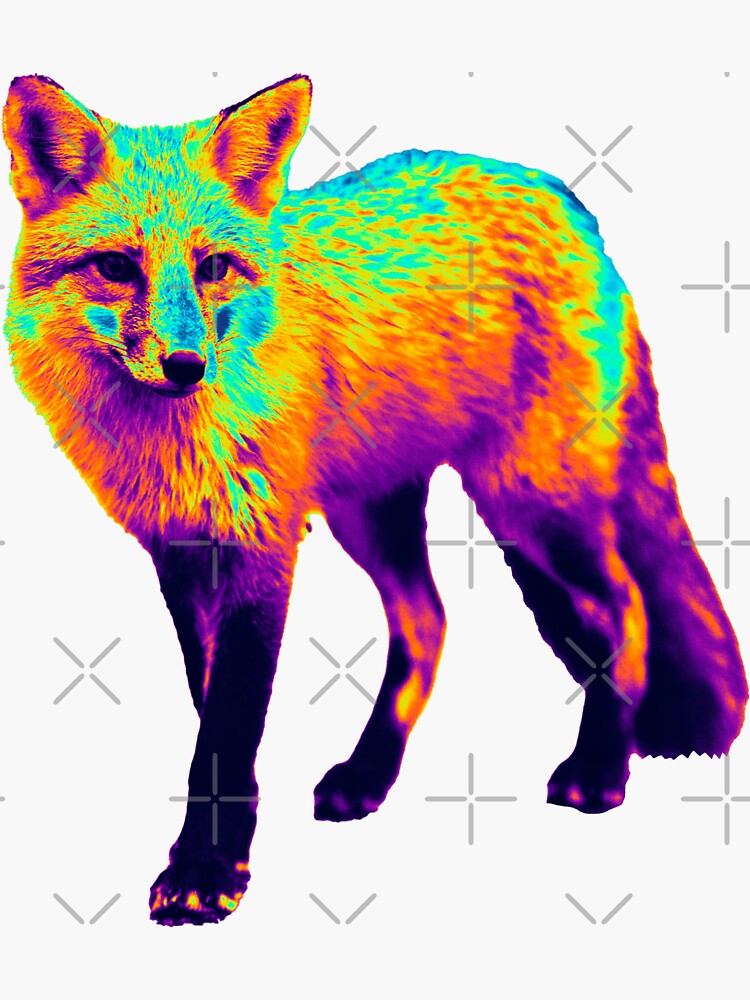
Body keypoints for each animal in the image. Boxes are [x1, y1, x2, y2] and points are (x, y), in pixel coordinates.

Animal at [2, 72, 747, 925]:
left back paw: (601, 769)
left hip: (531, 504)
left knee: (624, 606)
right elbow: (211, 709)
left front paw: (207, 870)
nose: (187, 365)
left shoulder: (263, 543)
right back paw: (370, 776)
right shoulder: (181, 553)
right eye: (116, 267)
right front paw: (227, 845)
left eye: (214, 266)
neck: (176, 439)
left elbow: (229, 717)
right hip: (376, 514)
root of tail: (567, 201)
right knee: (429, 621)